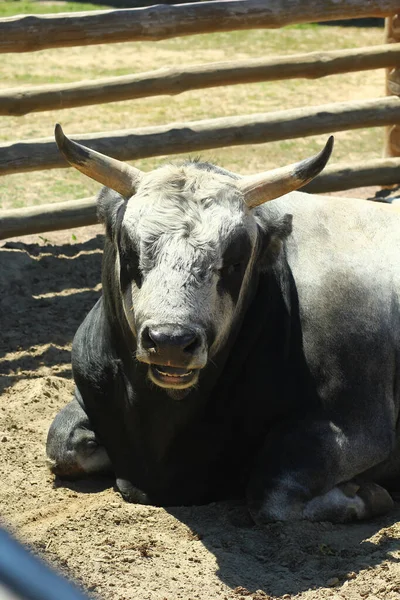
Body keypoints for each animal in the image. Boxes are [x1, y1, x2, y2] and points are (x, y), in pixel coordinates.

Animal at [45, 124, 398, 524]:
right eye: (130, 252)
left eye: (235, 262)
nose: (170, 341)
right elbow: (62, 446)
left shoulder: (358, 429)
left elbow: (272, 493)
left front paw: (366, 496)